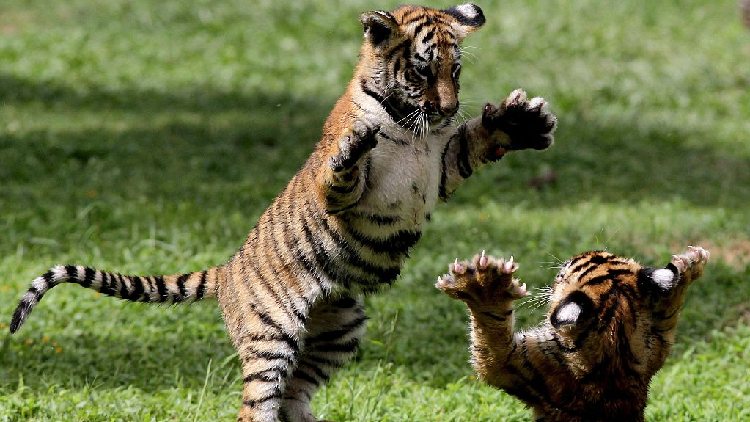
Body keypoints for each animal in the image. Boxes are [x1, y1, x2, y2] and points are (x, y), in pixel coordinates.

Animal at [8, 4, 557, 422]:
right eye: (423, 70)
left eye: (454, 71)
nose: (447, 108)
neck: (413, 127)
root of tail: (228, 269)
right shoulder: (348, 189)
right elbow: (340, 173)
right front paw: (352, 147)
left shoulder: (442, 164)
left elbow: (473, 142)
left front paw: (523, 122)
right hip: (271, 334)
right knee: (255, 407)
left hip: (340, 327)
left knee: (293, 397)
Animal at [436, 246, 709, 422]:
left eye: (561, 273)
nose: (588, 249)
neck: (617, 335)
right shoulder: (652, 349)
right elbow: (669, 318)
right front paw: (687, 268)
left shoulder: (510, 363)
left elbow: (490, 330)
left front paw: (484, 285)